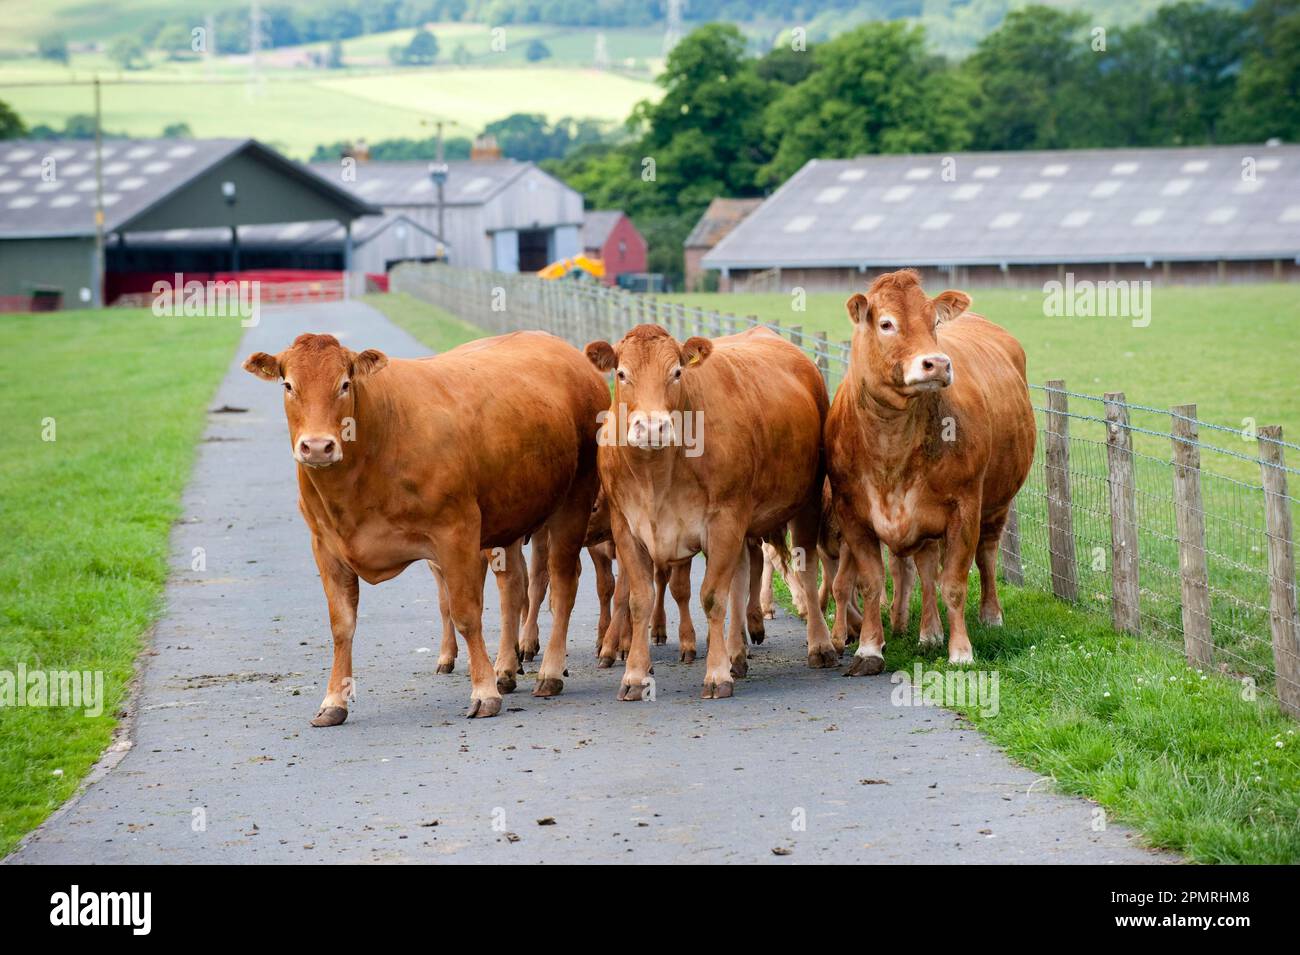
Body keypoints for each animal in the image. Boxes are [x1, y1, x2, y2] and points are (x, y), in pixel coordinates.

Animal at [242, 331, 606, 723]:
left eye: (344, 384)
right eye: (288, 385)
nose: (317, 447)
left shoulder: (456, 532)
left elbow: (466, 613)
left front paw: (484, 692)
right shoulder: (325, 546)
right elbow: (342, 626)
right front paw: (333, 701)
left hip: (574, 500)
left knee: (563, 583)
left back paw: (550, 672)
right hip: (510, 514)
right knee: (514, 586)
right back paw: (507, 669)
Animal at [585, 324, 838, 701]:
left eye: (676, 372)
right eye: (621, 374)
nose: (652, 427)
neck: (657, 474)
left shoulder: (724, 520)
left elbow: (713, 597)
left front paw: (716, 675)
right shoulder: (625, 527)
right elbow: (639, 600)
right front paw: (634, 675)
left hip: (804, 503)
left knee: (804, 571)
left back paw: (820, 645)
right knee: (743, 574)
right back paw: (736, 653)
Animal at [824, 269, 1035, 673]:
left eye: (933, 322)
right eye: (886, 323)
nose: (937, 363)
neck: (891, 446)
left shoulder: (965, 507)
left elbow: (953, 582)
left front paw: (961, 651)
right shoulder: (851, 514)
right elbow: (872, 582)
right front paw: (869, 648)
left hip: (996, 505)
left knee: (985, 556)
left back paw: (989, 616)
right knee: (925, 568)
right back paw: (929, 632)